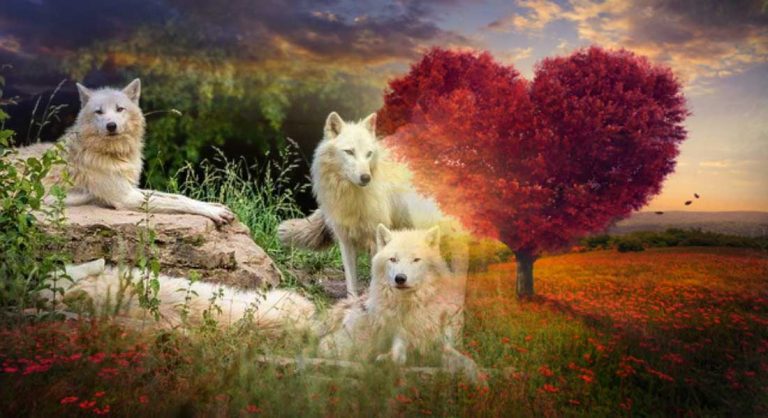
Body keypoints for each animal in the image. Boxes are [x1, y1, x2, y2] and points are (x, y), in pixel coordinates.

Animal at [15, 79, 234, 224]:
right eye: (99, 112)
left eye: (120, 109)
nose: (111, 125)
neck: (114, 155)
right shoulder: (126, 198)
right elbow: (178, 203)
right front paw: (213, 212)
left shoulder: (132, 188)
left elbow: (178, 197)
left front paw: (216, 206)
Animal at [278, 111, 467, 296]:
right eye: (349, 152)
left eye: (368, 154)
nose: (365, 177)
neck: (352, 196)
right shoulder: (346, 240)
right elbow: (351, 284)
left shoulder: (376, 241)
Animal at [316, 225, 480, 381]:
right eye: (393, 259)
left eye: (416, 259)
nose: (400, 278)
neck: (413, 305)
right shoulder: (400, 339)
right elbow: (398, 357)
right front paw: (387, 361)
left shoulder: (441, 346)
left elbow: (467, 361)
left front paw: (477, 376)